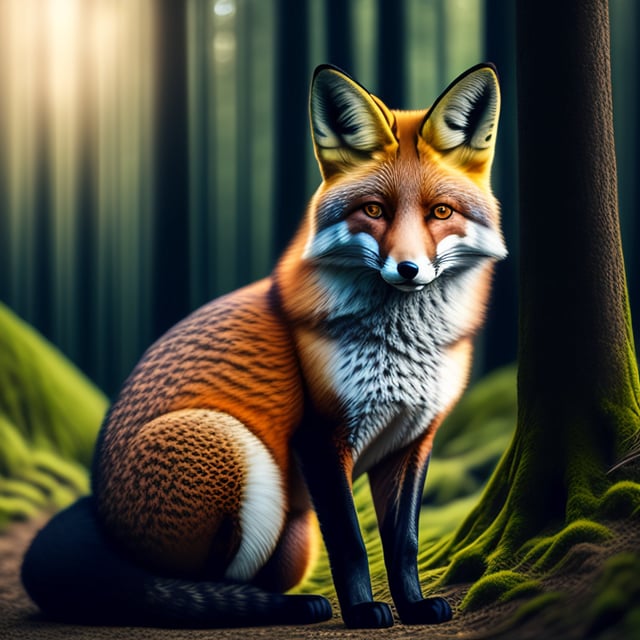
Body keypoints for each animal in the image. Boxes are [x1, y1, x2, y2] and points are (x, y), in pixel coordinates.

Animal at [21, 63, 506, 629]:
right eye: (374, 210)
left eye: (441, 212)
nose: (408, 269)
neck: (407, 351)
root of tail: (99, 508)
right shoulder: (320, 438)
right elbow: (351, 543)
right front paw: (363, 611)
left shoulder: (413, 441)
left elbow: (402, 541)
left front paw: (413, 605)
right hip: (236, 451)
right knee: (183, 591)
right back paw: (290, 607)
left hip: (294, 533)